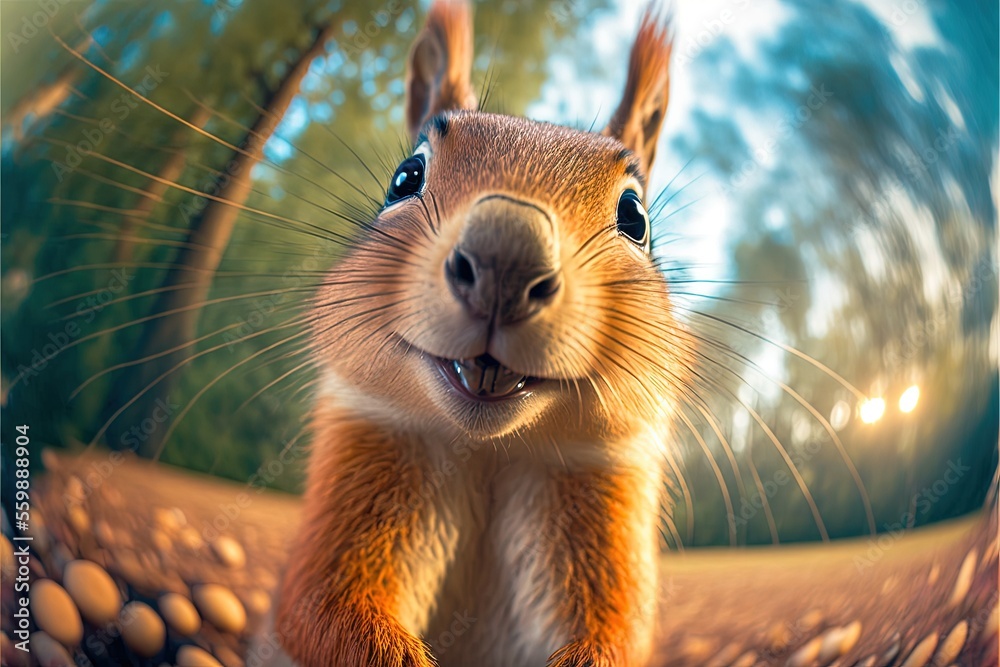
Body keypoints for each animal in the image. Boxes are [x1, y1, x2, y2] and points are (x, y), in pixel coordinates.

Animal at [265, 1, 688, 665]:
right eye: (404, 177)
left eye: (635, 217)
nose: (505, 257)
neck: (490, 452)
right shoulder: (365, 461)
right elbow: (320, 604)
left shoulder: (603, 501)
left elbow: (617, 635)